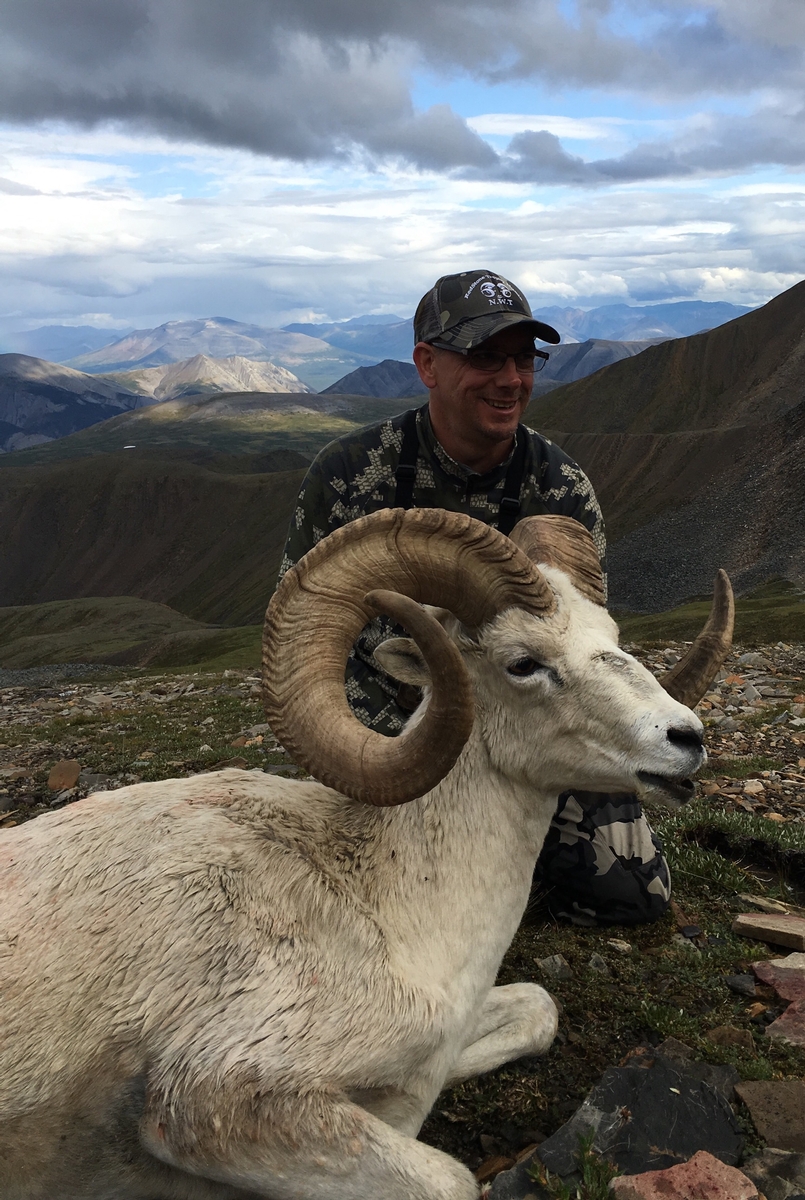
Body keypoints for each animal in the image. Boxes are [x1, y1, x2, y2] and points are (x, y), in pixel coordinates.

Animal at [0, 508, 733, 1200]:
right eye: (523, 662)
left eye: (610, 638)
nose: (686, 739)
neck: (382, 901)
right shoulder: (214, 1098)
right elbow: (450, 1179)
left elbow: (536, 1011)